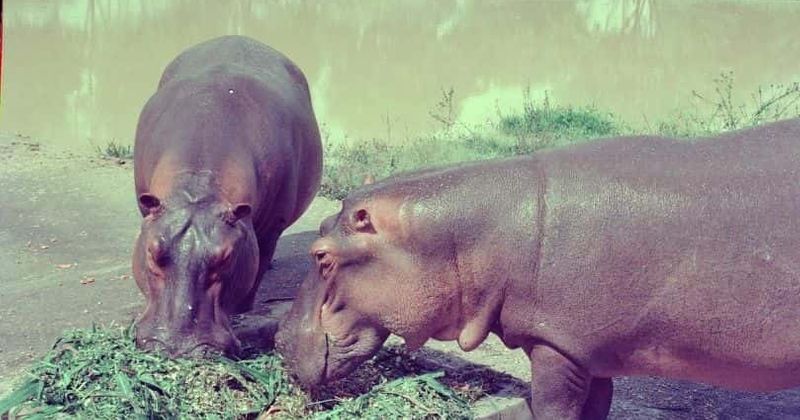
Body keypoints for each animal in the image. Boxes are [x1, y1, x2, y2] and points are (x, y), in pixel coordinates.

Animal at [132, 35, 322, 357]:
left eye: (226, 257)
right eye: (152, 251)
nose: (176, 346)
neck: (199, 185)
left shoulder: (269, 228)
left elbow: (257, 265)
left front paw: (243, 311)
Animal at [276, 119, 800, 419]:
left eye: (320, 254)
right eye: (319, 226)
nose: (277, 339)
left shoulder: (557, 348)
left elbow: (552, 409)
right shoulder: (586, 349)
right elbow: (595, 407)